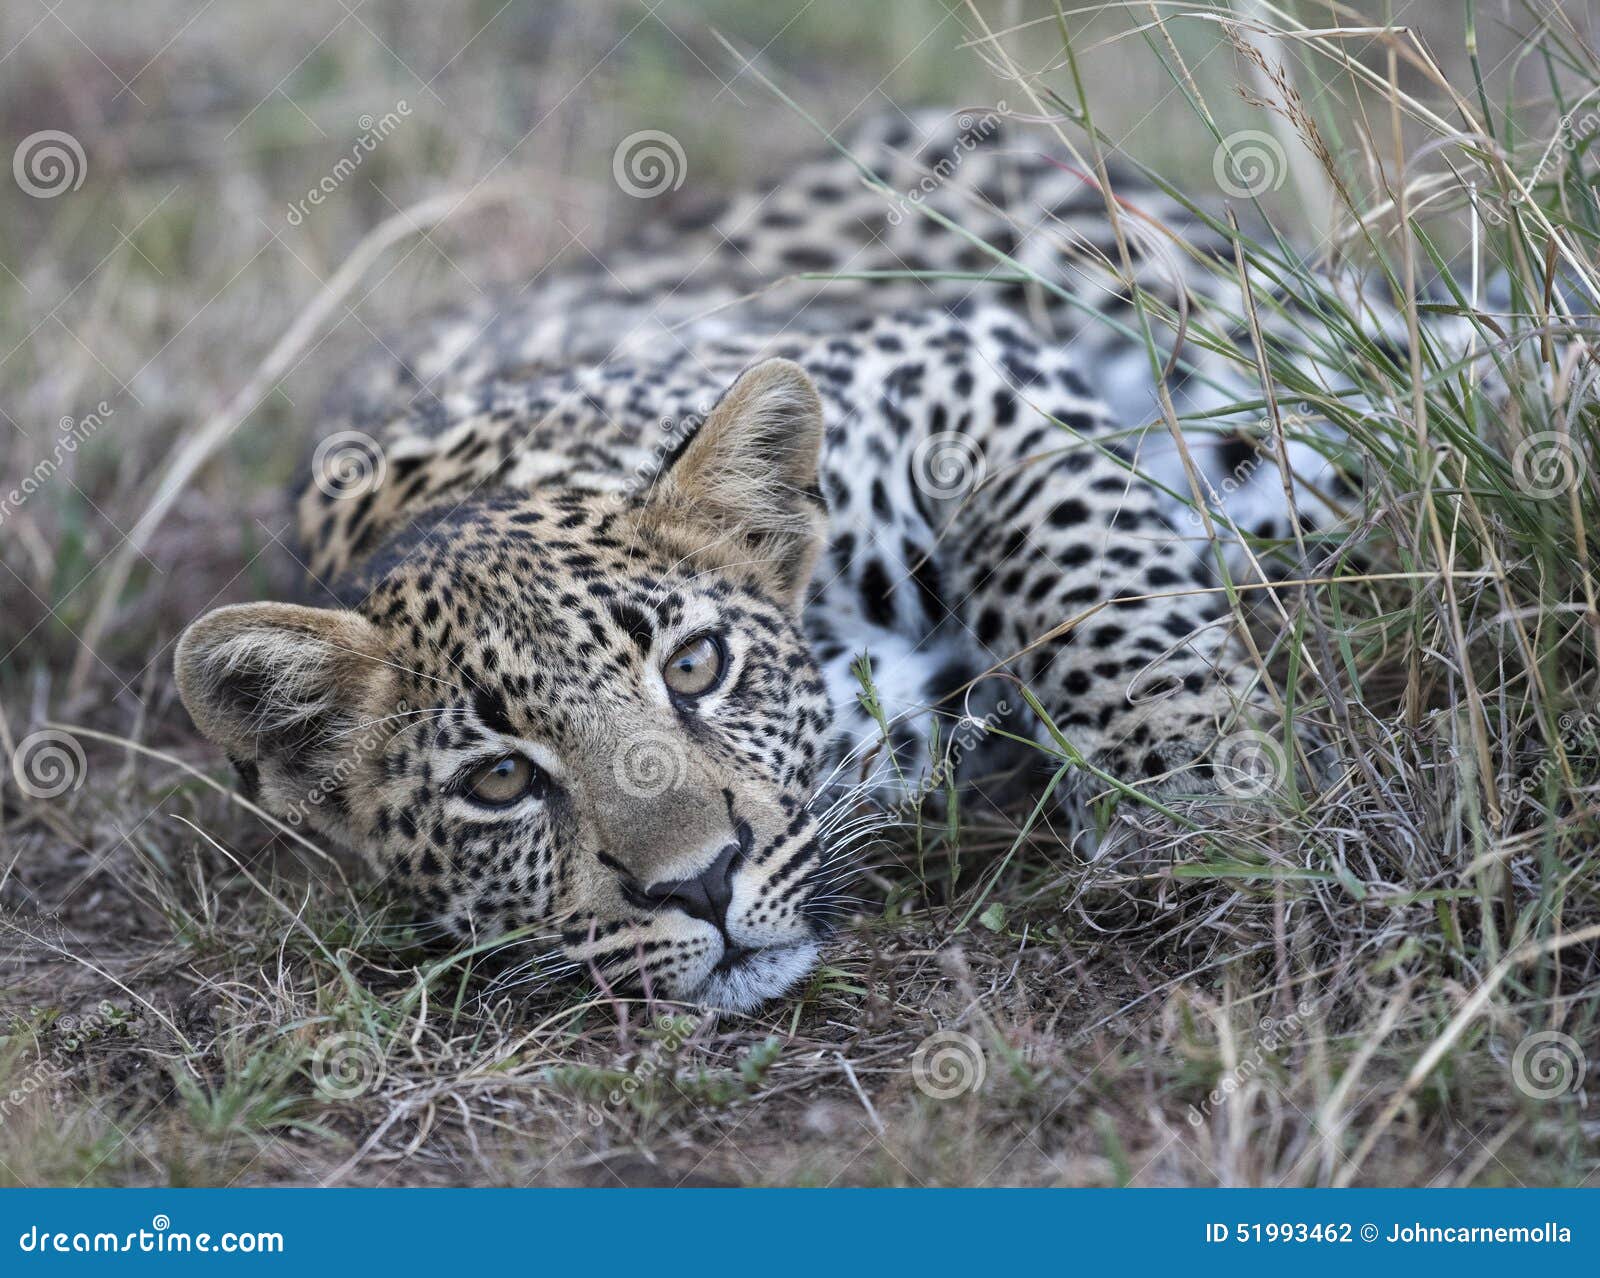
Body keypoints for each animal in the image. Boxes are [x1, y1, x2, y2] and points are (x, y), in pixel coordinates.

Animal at [174, 109, 1360, 1012]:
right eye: (499, 780)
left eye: (694, 668)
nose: (700, 885)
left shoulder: (956, 369)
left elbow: (1084, 574)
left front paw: (1197, 795)